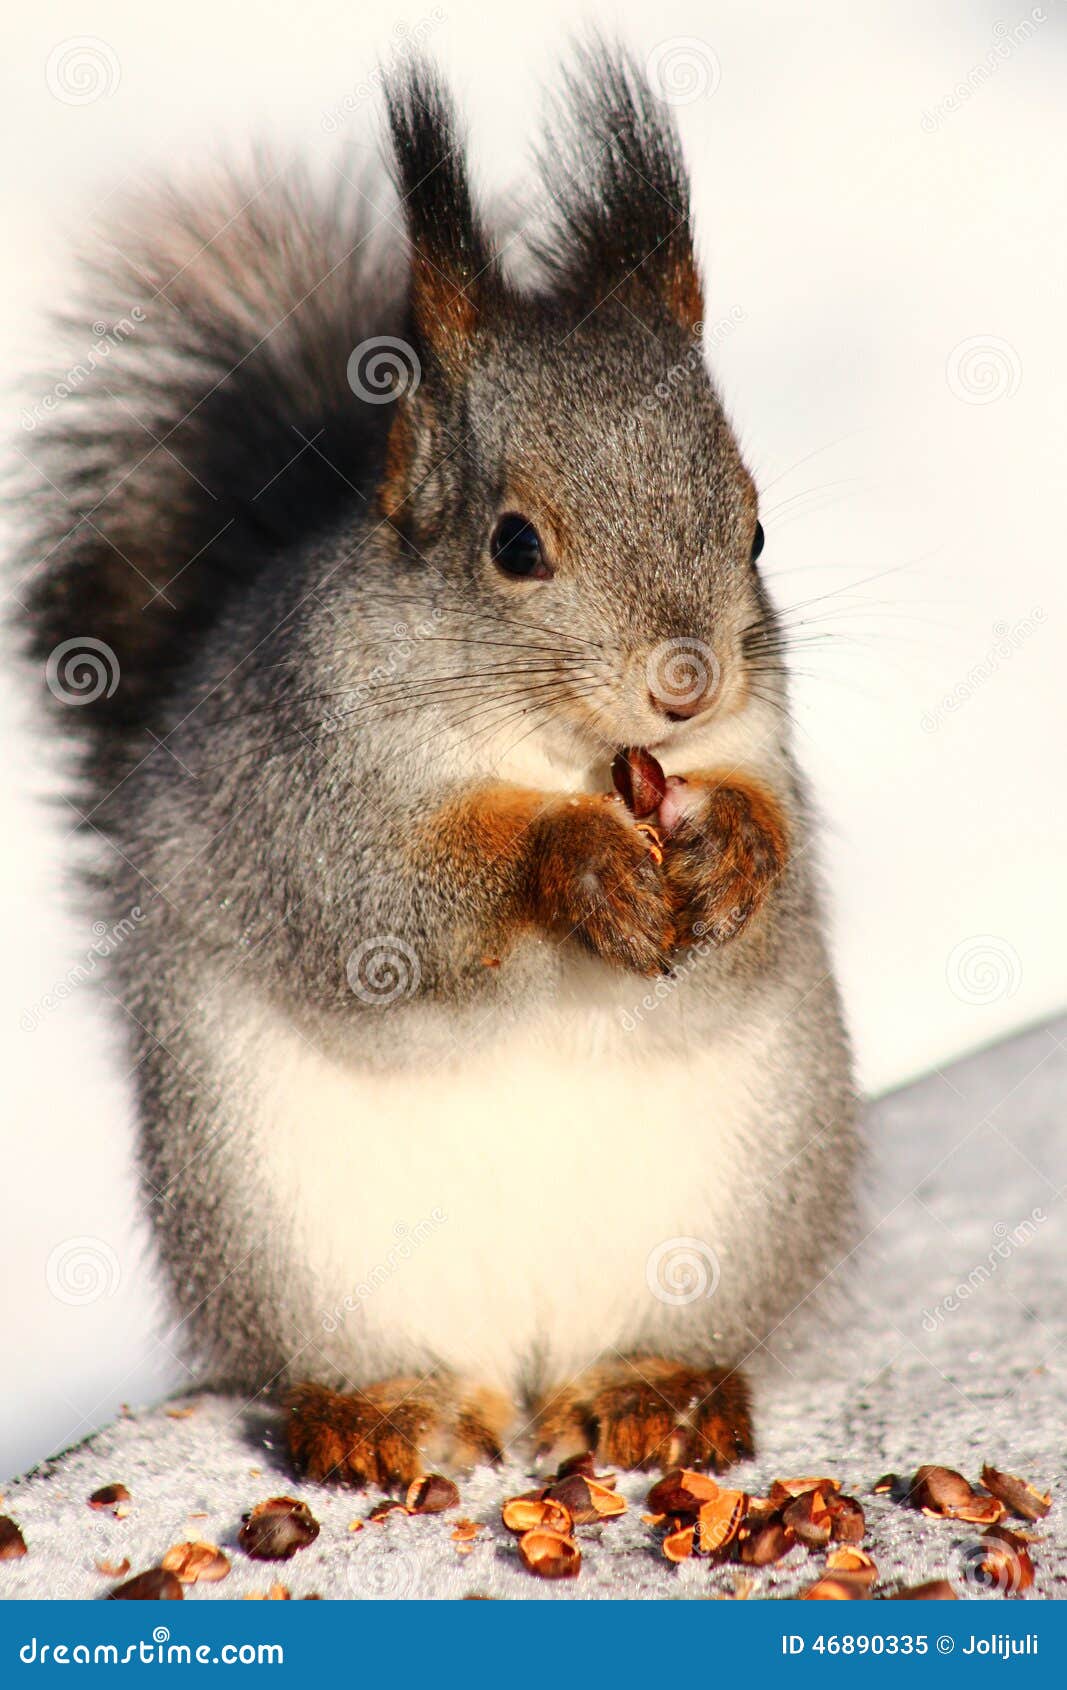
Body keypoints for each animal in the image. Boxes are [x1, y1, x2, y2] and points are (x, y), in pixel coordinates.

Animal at [16, 45, 857, 1485]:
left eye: (751, 530)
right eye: (512, 545)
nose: (687, 682)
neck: (556, 754)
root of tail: (515, 1365)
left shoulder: (763, 741)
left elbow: (759, 898)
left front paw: (734, 849)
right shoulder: (297, 787)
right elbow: (384, 911)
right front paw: (573, 864)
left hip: (734, 1194)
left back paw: (651, 1389)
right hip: (285, 1223)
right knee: (374, 1356)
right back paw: (381, 1414)